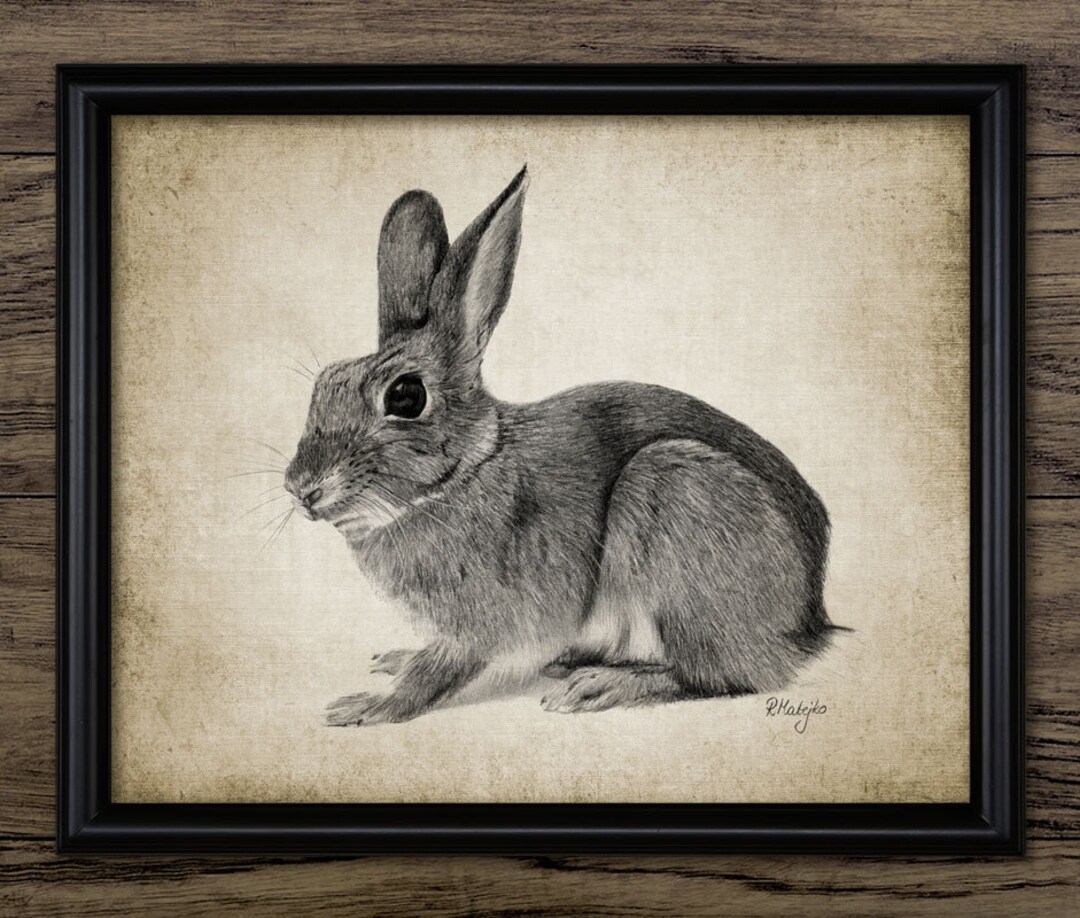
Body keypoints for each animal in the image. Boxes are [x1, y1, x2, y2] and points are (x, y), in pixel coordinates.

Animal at [284, 166, 836, 726]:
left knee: (718, 675)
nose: (300, 487)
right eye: (324, 382)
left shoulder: (479, 622)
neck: (465, 473)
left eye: (406, 396)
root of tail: (809, 621)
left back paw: (600, 686)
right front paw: (395, 660)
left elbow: (438, 672)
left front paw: (370, 706)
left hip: (676, 497)